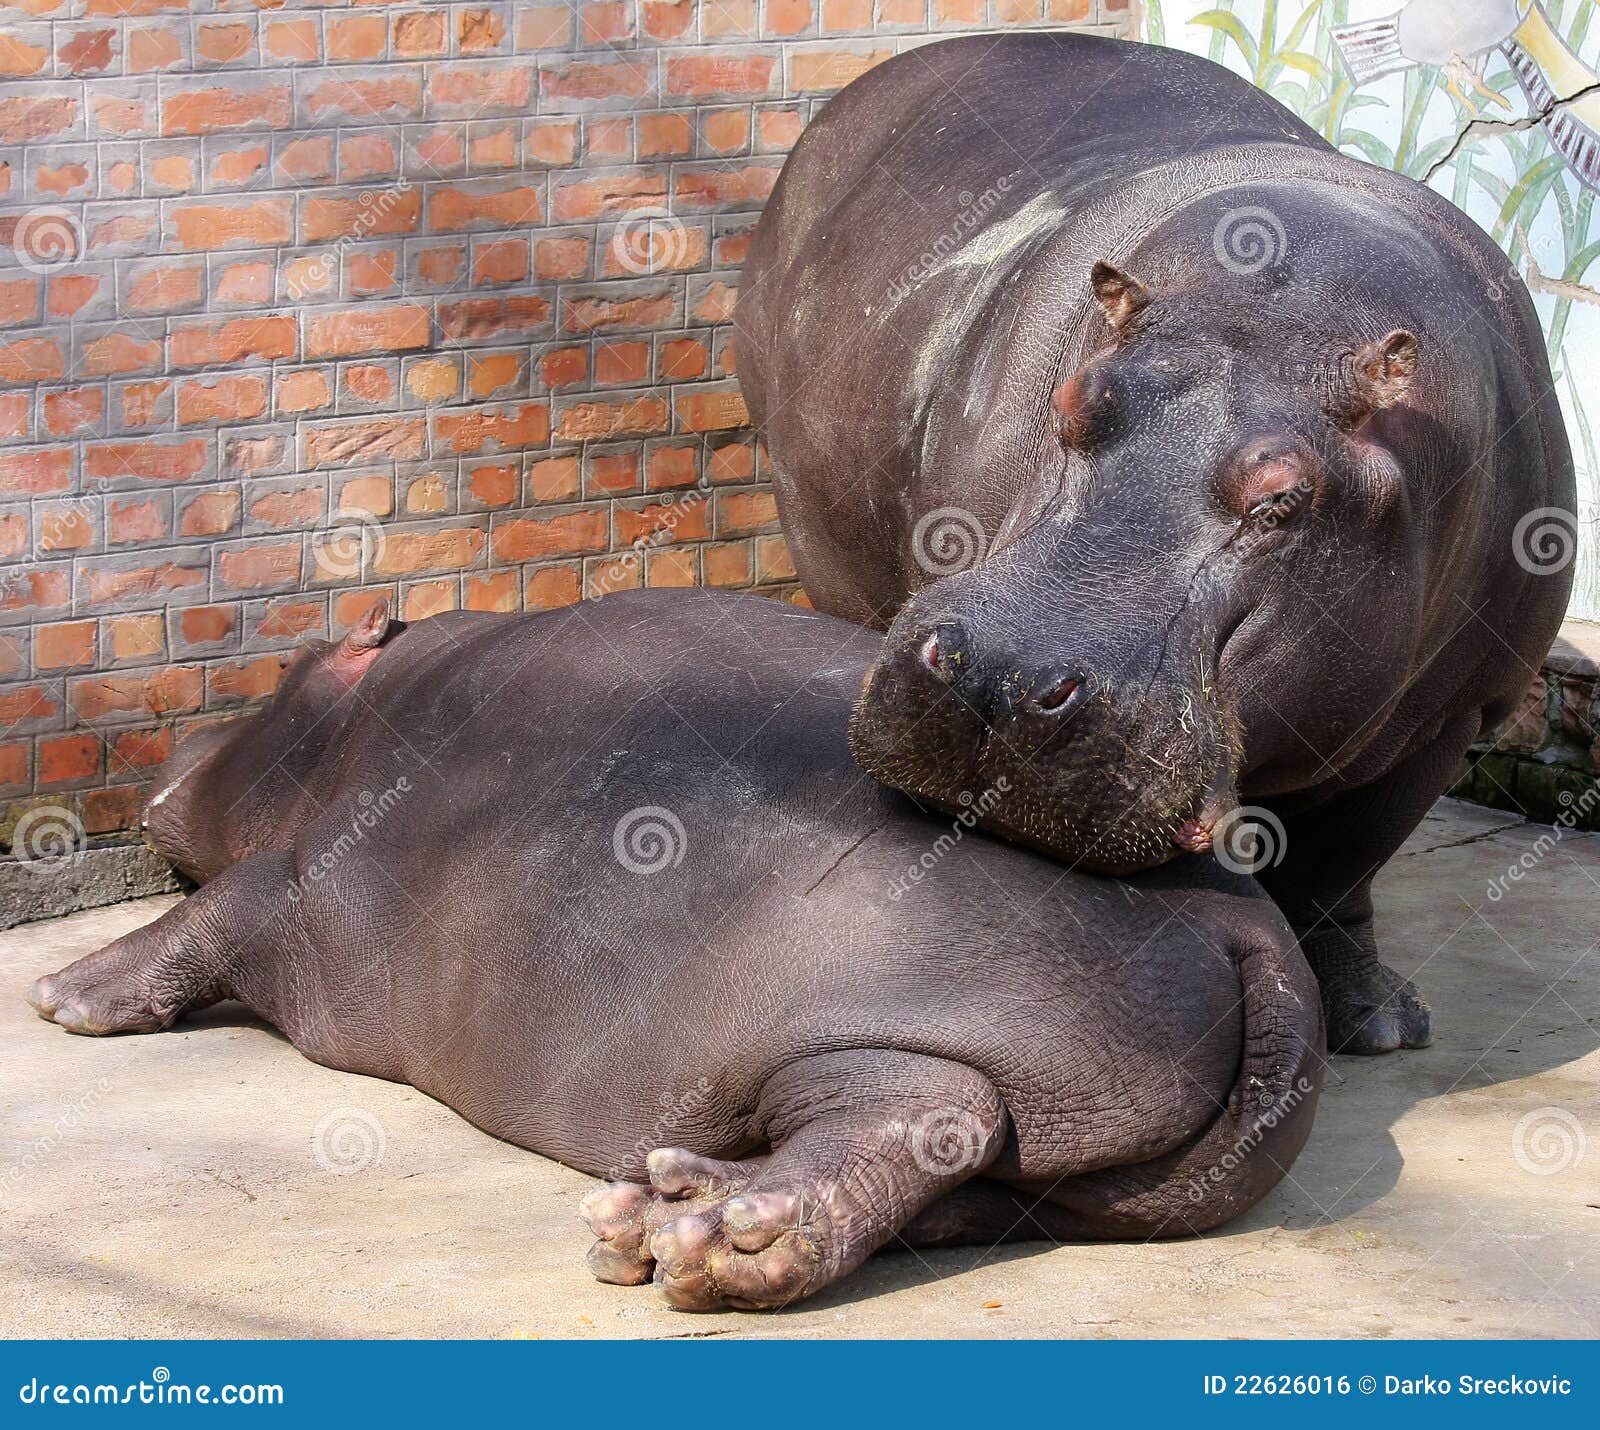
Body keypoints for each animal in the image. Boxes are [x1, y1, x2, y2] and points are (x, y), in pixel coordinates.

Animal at [27, 590, 1320, 1311]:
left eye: (280, 672)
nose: (171, 755)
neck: (358, 721)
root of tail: (1248, 920)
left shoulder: (299, 879)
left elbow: (205, 915)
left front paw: (60, 995)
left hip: (884, 1040)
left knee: (923, 1123)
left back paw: (695, 1237)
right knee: (958, 1188)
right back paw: (670, 1215)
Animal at [734, 32, 1574, 1056]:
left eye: (1284, 501)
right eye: (1071, 400)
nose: (997, 677)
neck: (1287, 309)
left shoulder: (1455, 714)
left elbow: (1343, 867)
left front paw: (1378, 1027)